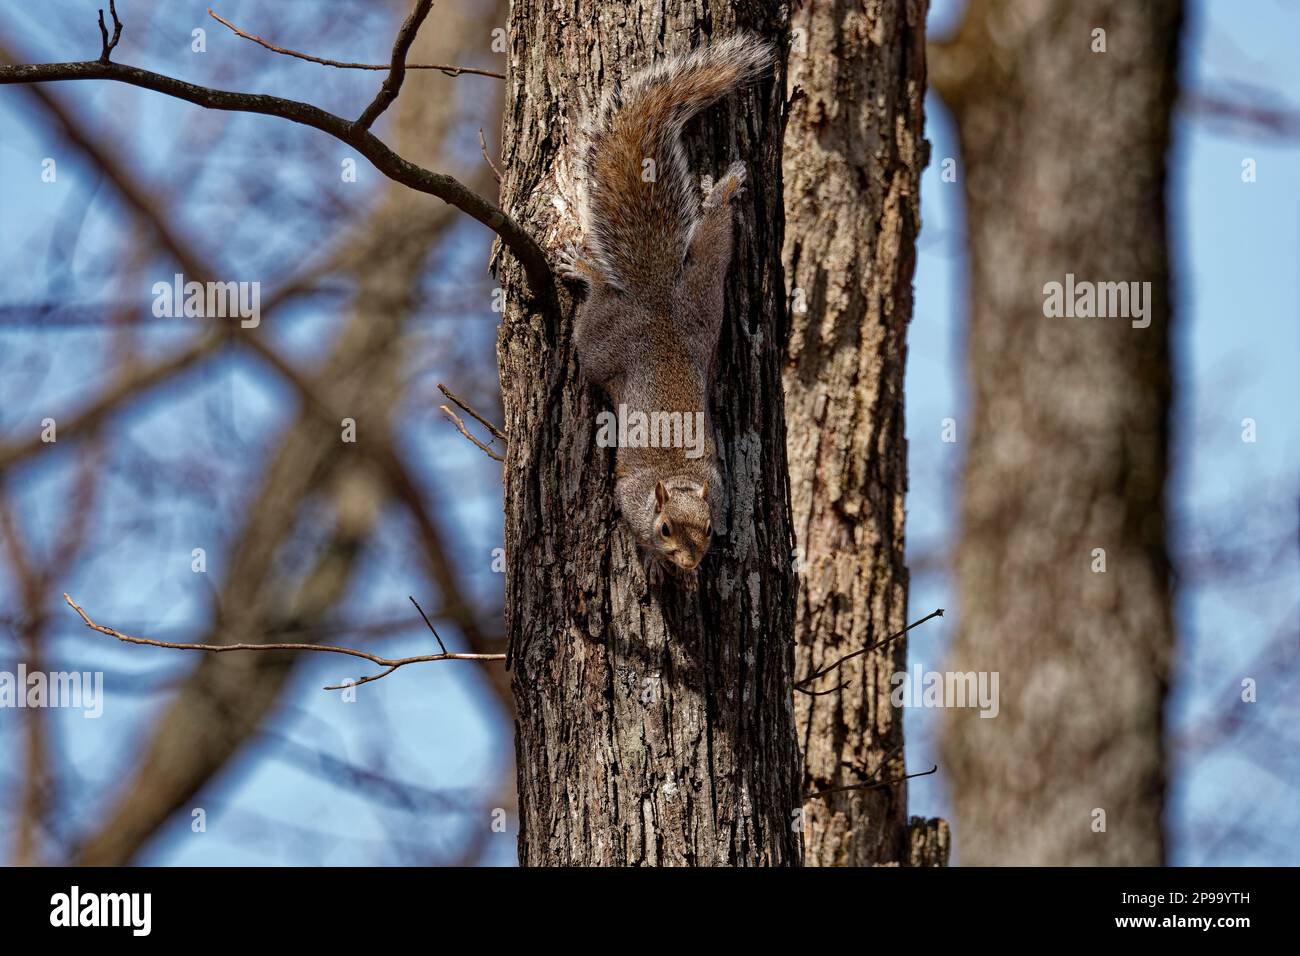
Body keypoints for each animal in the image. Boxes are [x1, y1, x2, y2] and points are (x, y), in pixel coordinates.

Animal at [558, 34, 774, 582]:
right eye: (664, 529)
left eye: (711, 529)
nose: (692, 564)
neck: (674, 476)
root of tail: (656, 302)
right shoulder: (629, 497)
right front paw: (656, 565)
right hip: (603, 339)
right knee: (597, 308)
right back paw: (588, 270)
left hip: (703, 295)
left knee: (715, 237)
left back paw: (725, 190)